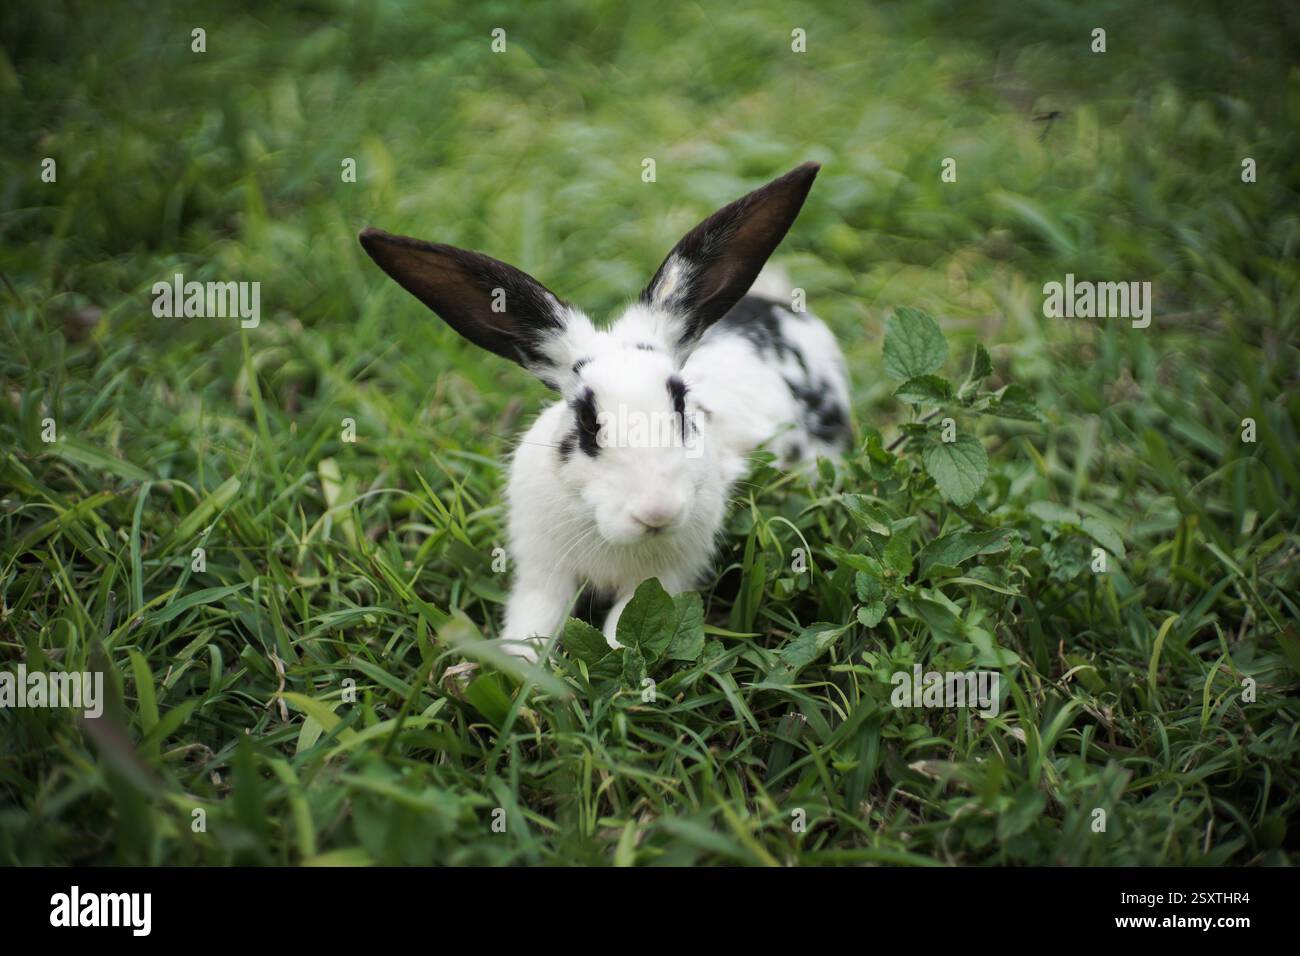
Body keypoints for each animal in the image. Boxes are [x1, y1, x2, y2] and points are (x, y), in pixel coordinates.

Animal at [359, 162, 851, 661]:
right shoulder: (542, 572)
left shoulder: (665, 579)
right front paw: (514, 667)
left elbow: (623, 632)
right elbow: (532, 624)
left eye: (682, 408)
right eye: (587, 422)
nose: (656, 513)